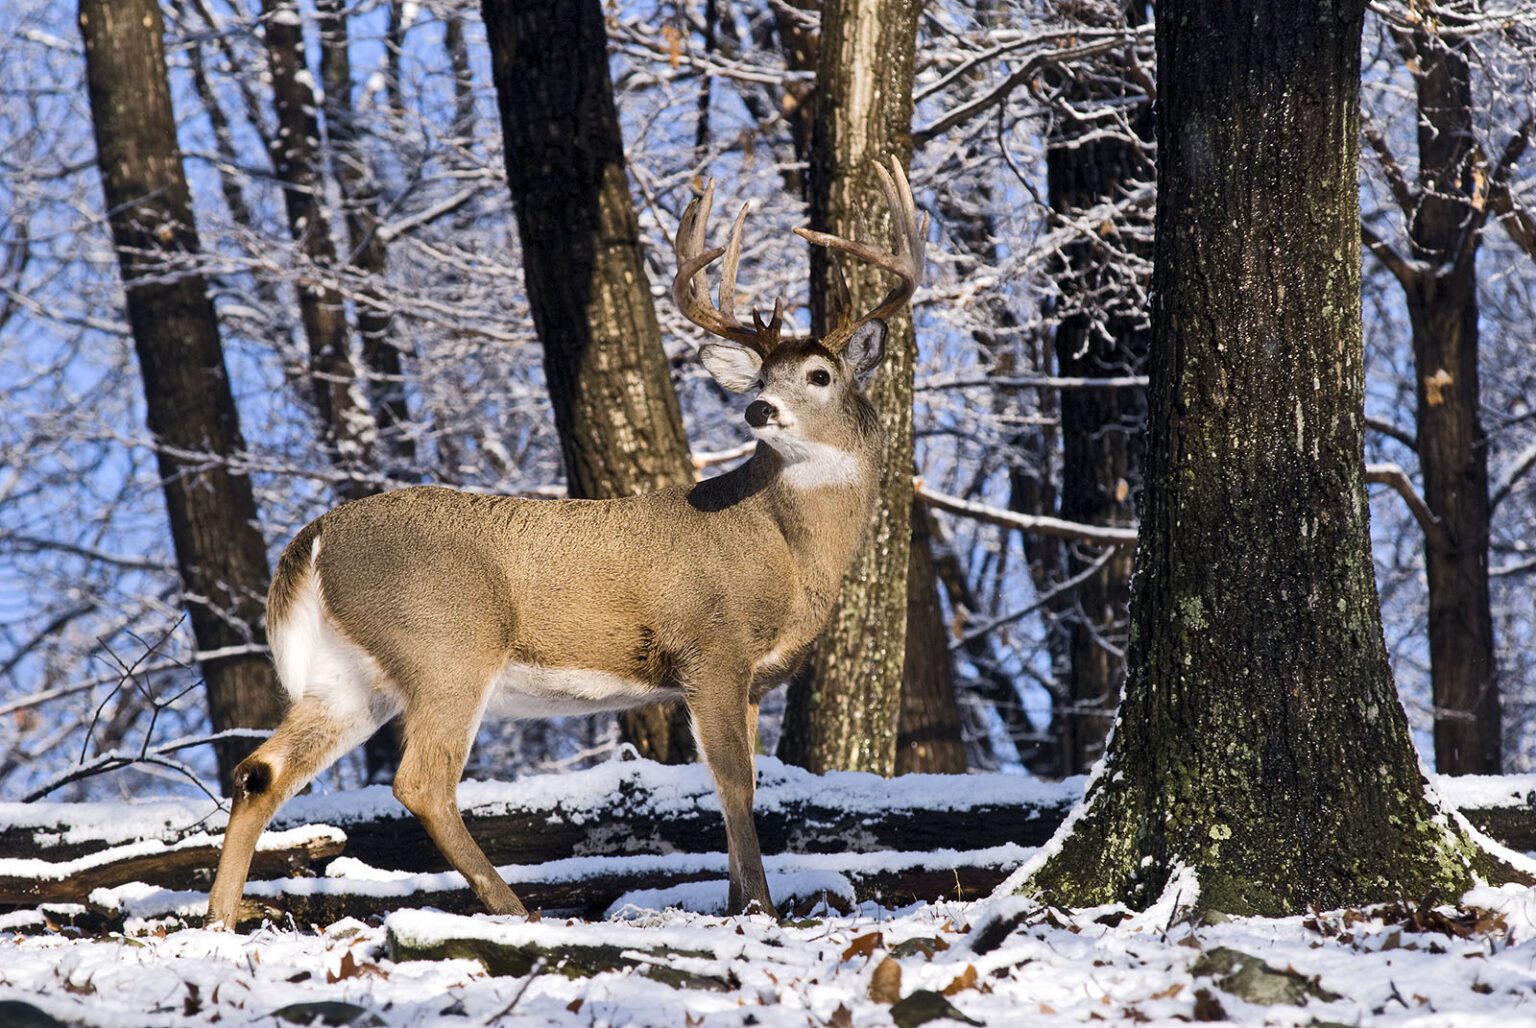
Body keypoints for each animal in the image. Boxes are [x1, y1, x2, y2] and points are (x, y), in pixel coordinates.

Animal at [206, 158, 927, 926]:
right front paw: (757, 908)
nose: (759, 408)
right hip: (447, 645)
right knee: (421, 781)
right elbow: (734, 784)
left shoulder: (750, 678)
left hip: (353, 674)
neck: (785, 552)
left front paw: (739, 901)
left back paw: (220, 919)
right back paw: (514, 909)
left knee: (261, 771)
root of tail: (318, 533)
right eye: (762, 376)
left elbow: (742, 783)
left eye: (819, 375)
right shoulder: (710, 648)